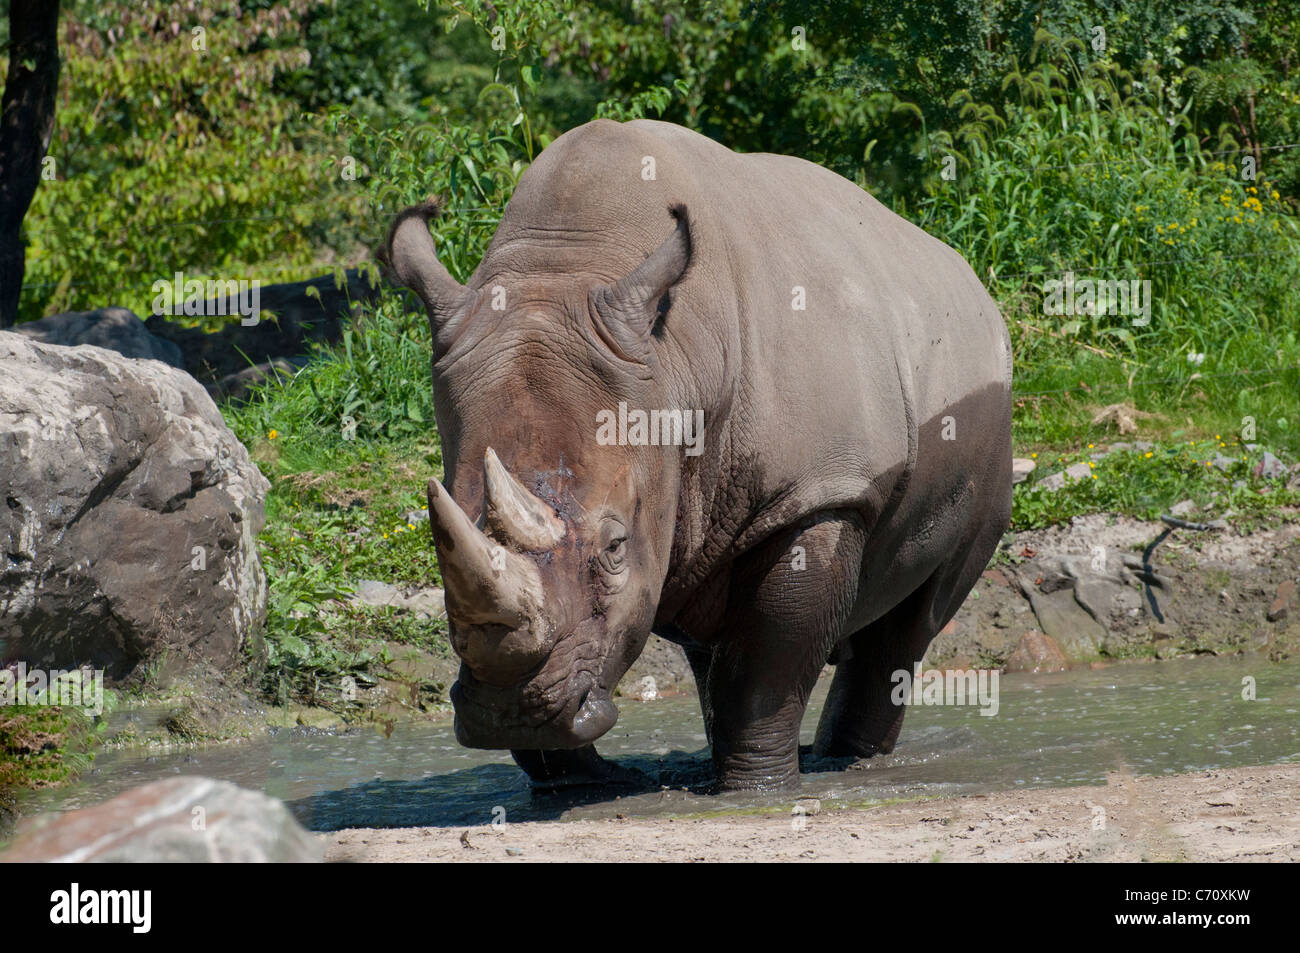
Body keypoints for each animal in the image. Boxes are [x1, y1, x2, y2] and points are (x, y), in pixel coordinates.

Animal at [384, 119, 1011, 791]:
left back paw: (847, 761)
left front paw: (757, 789)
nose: (507, 712)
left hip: (989, 421)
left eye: (615, 548)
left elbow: (770, 661)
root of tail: (971, 284)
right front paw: (579, 781)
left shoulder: (822, 492)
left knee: (906, 629)